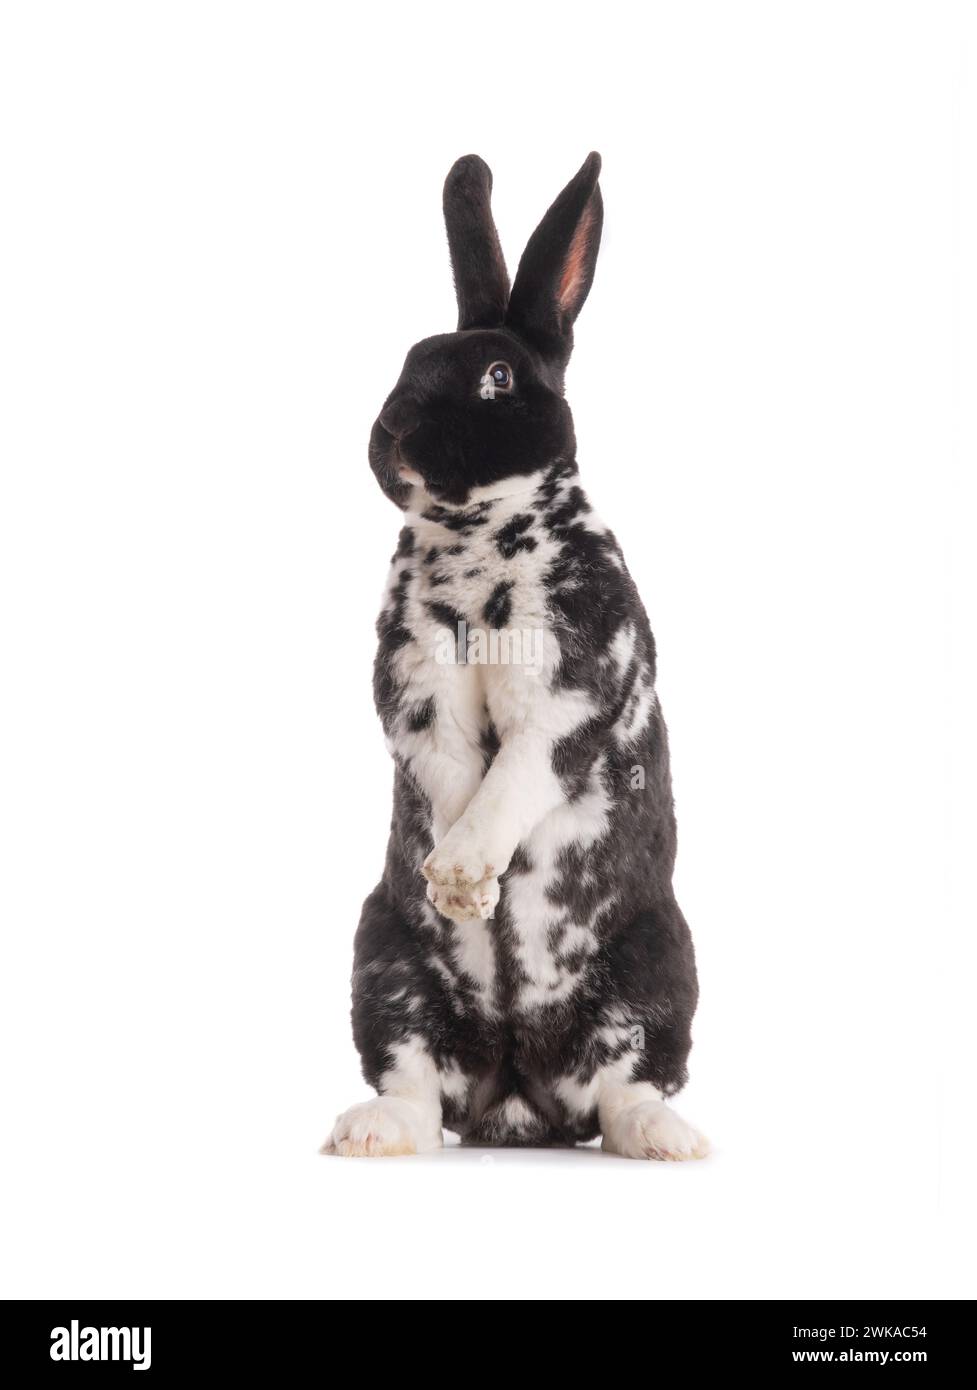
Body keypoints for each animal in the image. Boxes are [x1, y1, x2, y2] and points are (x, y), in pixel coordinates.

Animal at [321, 153, 708, 1161]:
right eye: (407, 359)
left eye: (495, 375)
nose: (392, 432)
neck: (477, 537)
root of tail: (518, 1096)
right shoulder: (417, 696)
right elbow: (455, 775)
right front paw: (459, 891)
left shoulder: (569, 691)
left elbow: (513, 780)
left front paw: (464, 876)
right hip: (384, 965)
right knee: (415, 1084)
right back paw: (372, 1132)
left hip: (659, 971)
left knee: (625, 1087)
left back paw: (666, 1138)